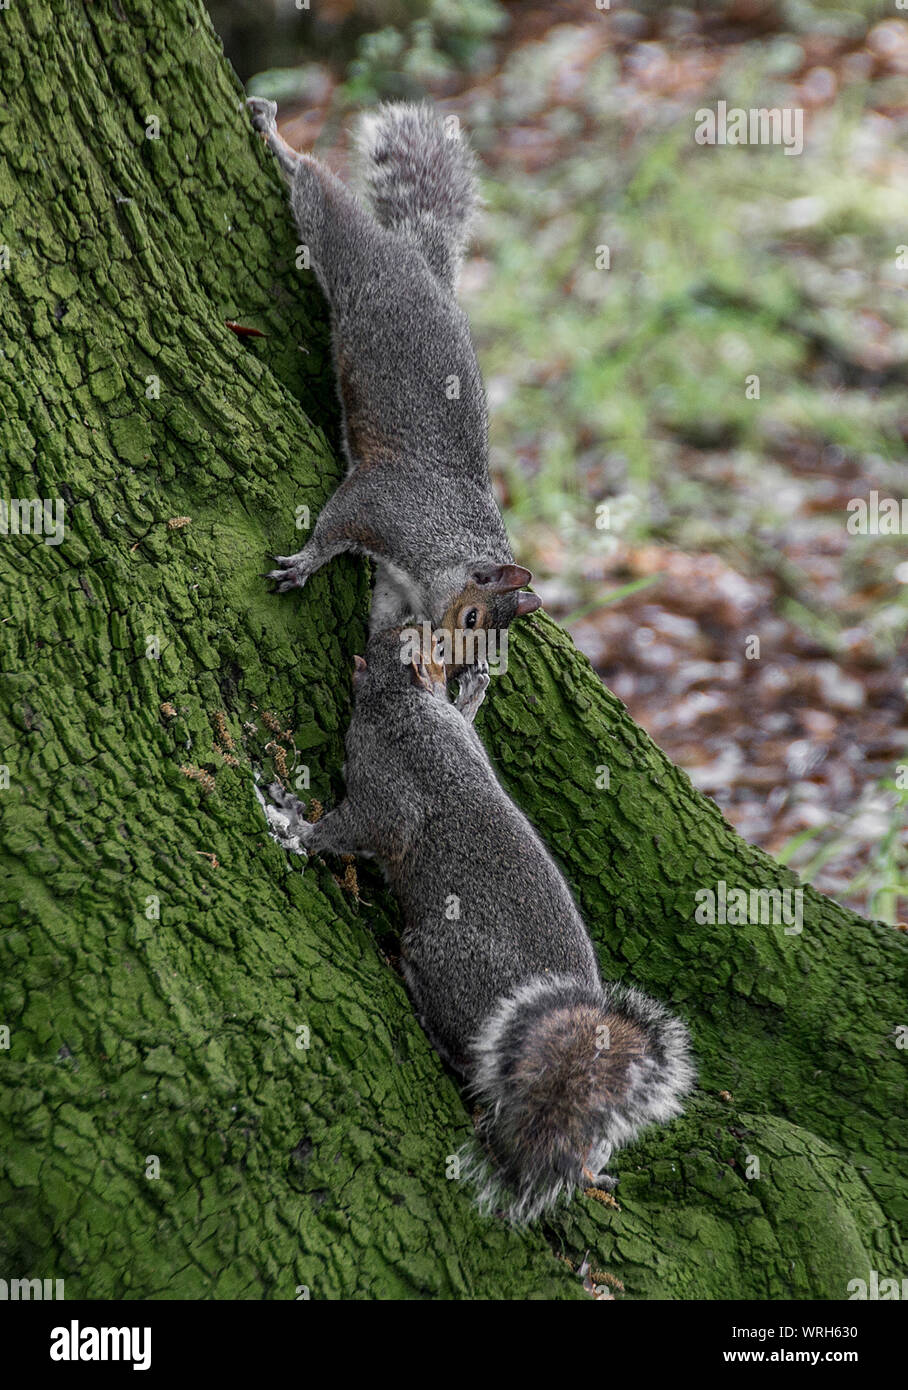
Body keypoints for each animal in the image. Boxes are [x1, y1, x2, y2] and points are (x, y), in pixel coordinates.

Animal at [246, 97, 541, 653]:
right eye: (473, 617)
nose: (458, 663)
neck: (447, 544)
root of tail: (423, 266)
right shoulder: (383, 503)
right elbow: (333, 524)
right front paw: (305, 562)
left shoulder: (394, 584)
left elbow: (382, 619)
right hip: (355, 257)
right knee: (321, 195)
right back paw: (276, 136)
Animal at [264, 625, 695, 1224]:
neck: (405, 703)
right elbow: (466, 723)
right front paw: (472, 693)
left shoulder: (389, 779)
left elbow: (368, 826)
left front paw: (297, 827)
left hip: (444, 954)